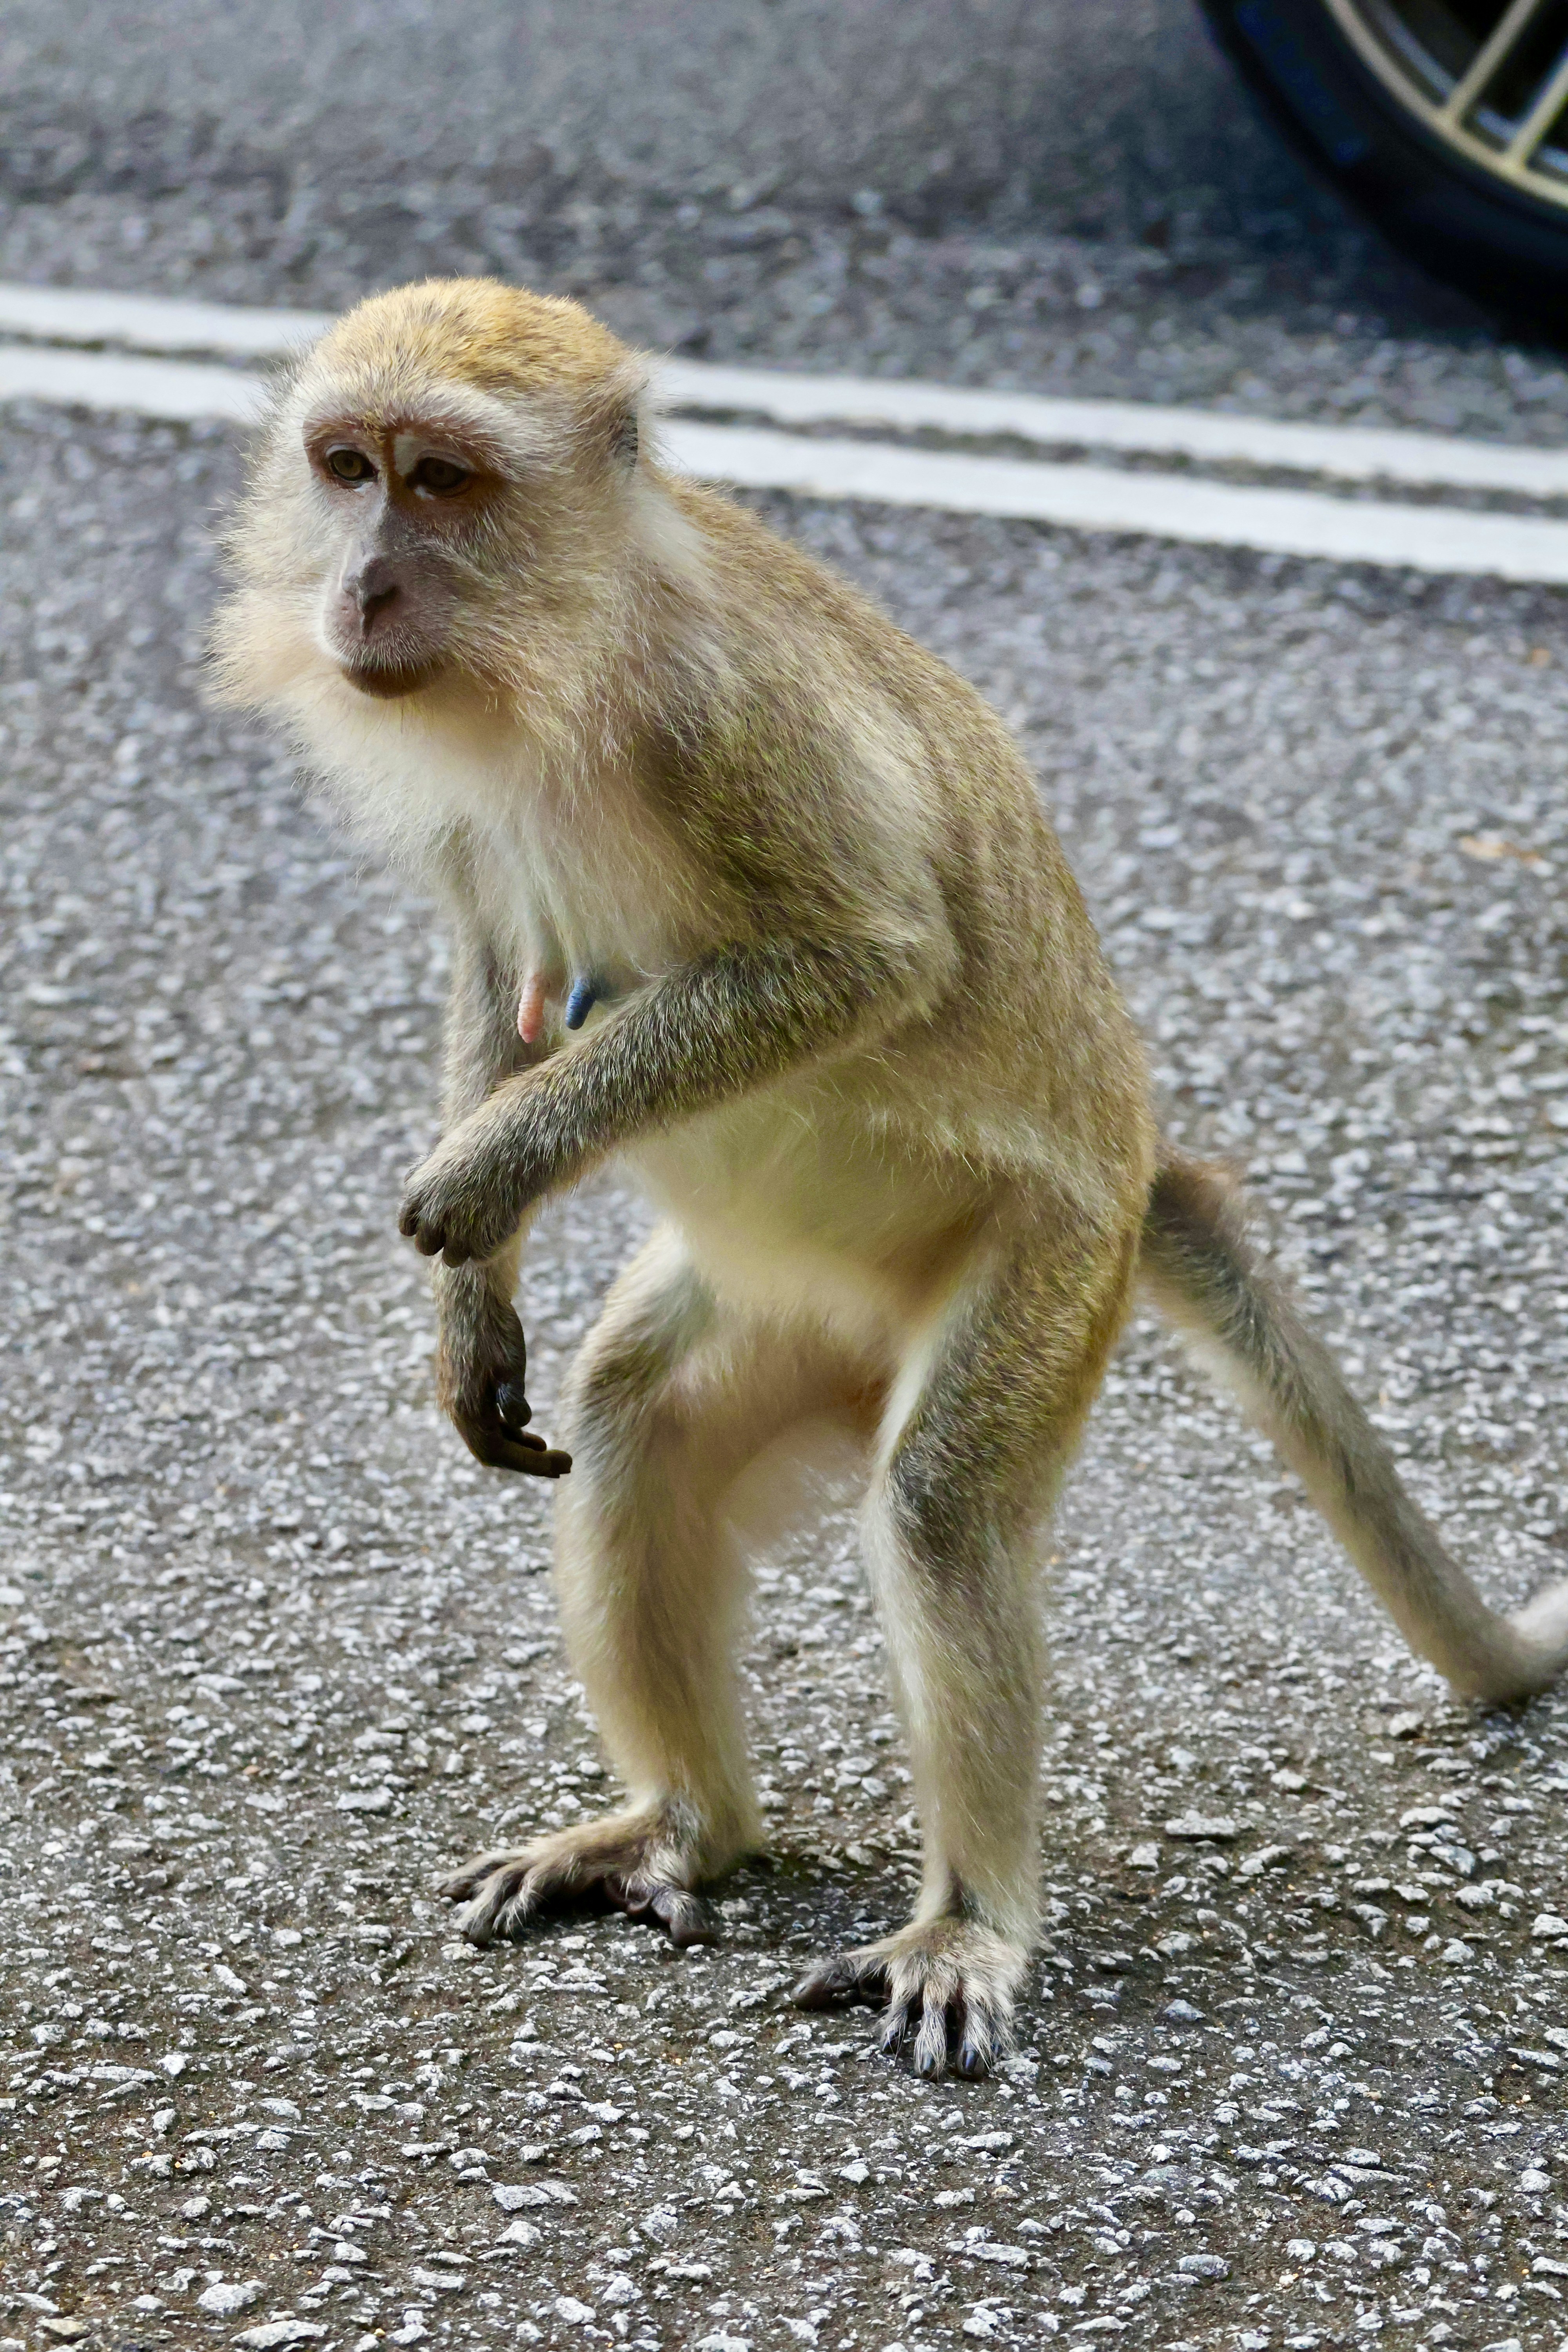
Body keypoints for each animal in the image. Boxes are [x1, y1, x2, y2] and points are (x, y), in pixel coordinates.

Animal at [212, 276, 1568, 2079]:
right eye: (346, 466)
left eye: (442, 481)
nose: (361, 584)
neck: (566, 652)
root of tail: (1136, 1165)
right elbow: (497, 959)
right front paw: (470, 1306)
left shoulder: (730, 719)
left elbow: (868, 959)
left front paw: (499, 1164)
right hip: (790, 1305)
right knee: (639, 1415)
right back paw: (684, 1825)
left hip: (1050, 1261)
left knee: (936, 1506)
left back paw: (968, 1921)